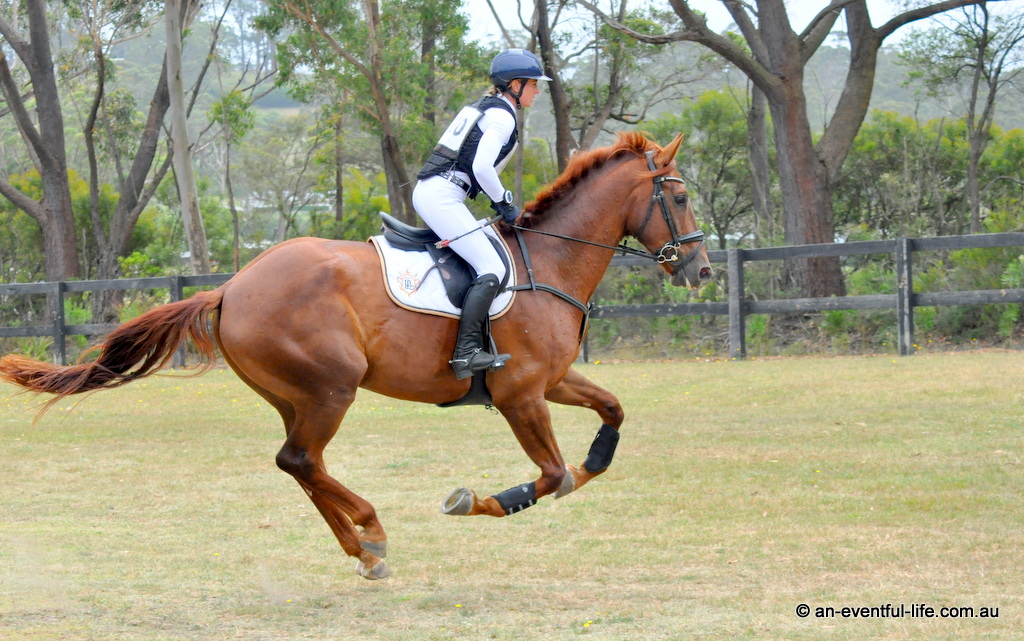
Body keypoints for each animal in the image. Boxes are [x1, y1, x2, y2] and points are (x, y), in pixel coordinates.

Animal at [0, 131, 712, 580]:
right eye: (678, 198)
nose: (701, 270)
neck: (552, 262)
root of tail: (231, 286)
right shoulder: (519, 395)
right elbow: (553, 475)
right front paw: (476, 501)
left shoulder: (553, 381)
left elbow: (607, 419)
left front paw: (591, 464)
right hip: (331, 388)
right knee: (300, 460)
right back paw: (371, 529)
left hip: (296, 395)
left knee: (300, 463)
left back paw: (364, 548)